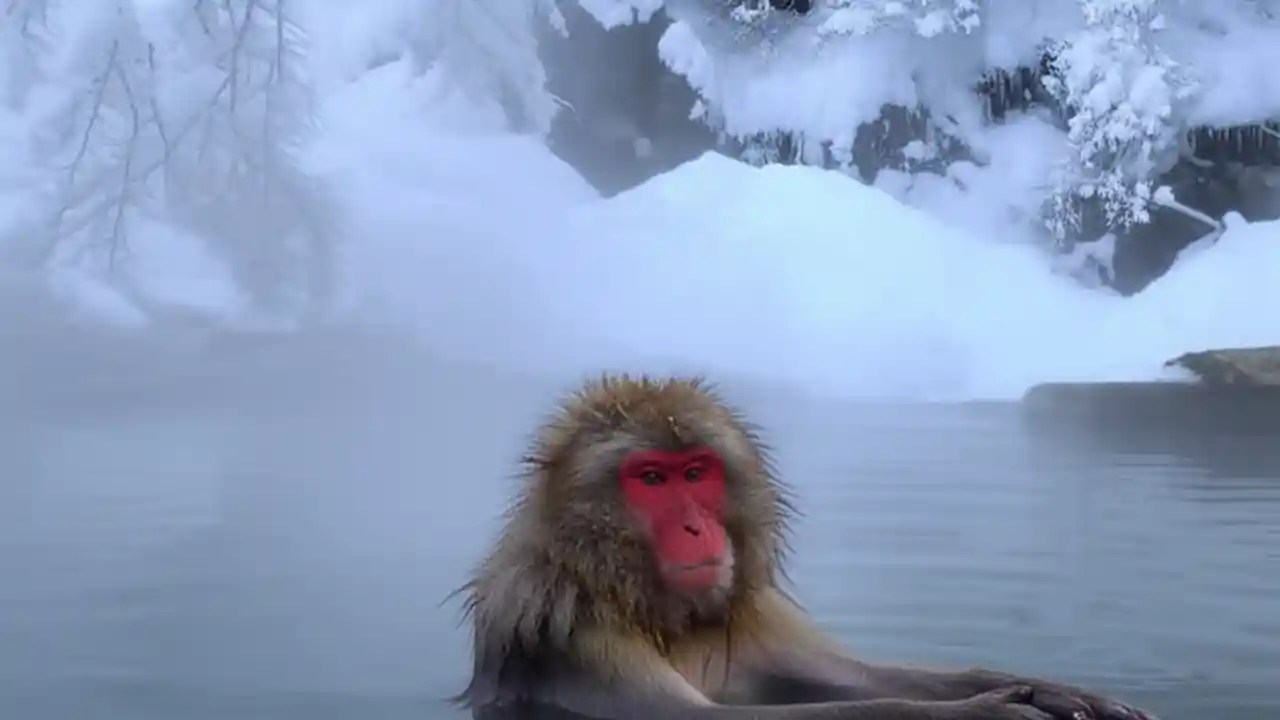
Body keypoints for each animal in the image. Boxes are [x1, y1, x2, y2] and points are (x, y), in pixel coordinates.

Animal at [453, 375, 1159, 720]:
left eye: (695, 473)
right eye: (650, 480)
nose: (695, 527)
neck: (663, 616)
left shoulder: (750, 623)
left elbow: (860, 678)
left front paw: (1057, 693)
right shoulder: (572, 638)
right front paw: (985, 717)